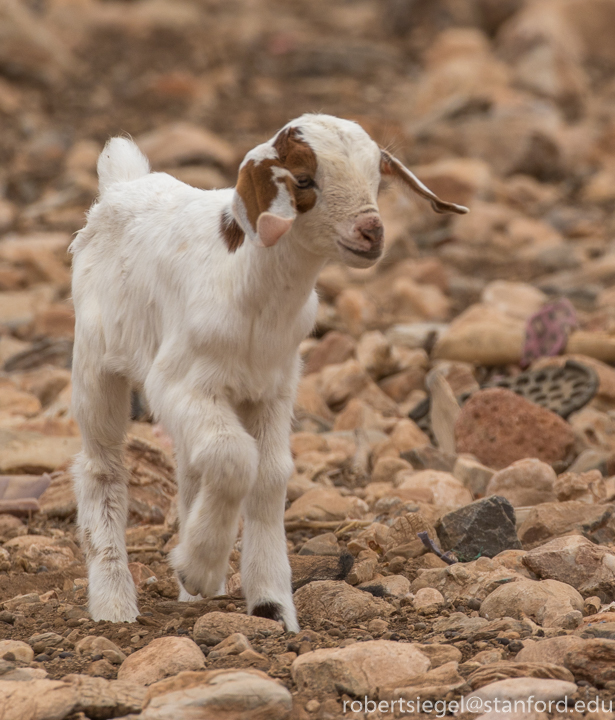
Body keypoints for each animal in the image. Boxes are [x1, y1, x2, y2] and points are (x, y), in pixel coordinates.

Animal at [70, 114, 468, 629]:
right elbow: (235, 457)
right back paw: (114, 602)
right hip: (96, 362)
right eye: (304, 180)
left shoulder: (274, 388)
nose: (371, 231)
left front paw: (270, 605)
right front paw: (200, 566)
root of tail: (124, 183)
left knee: (188, 466)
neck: (252, 289)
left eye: (376, 177)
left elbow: (270, 474)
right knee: (101, 466)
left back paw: (193, 591)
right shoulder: (176, 382)